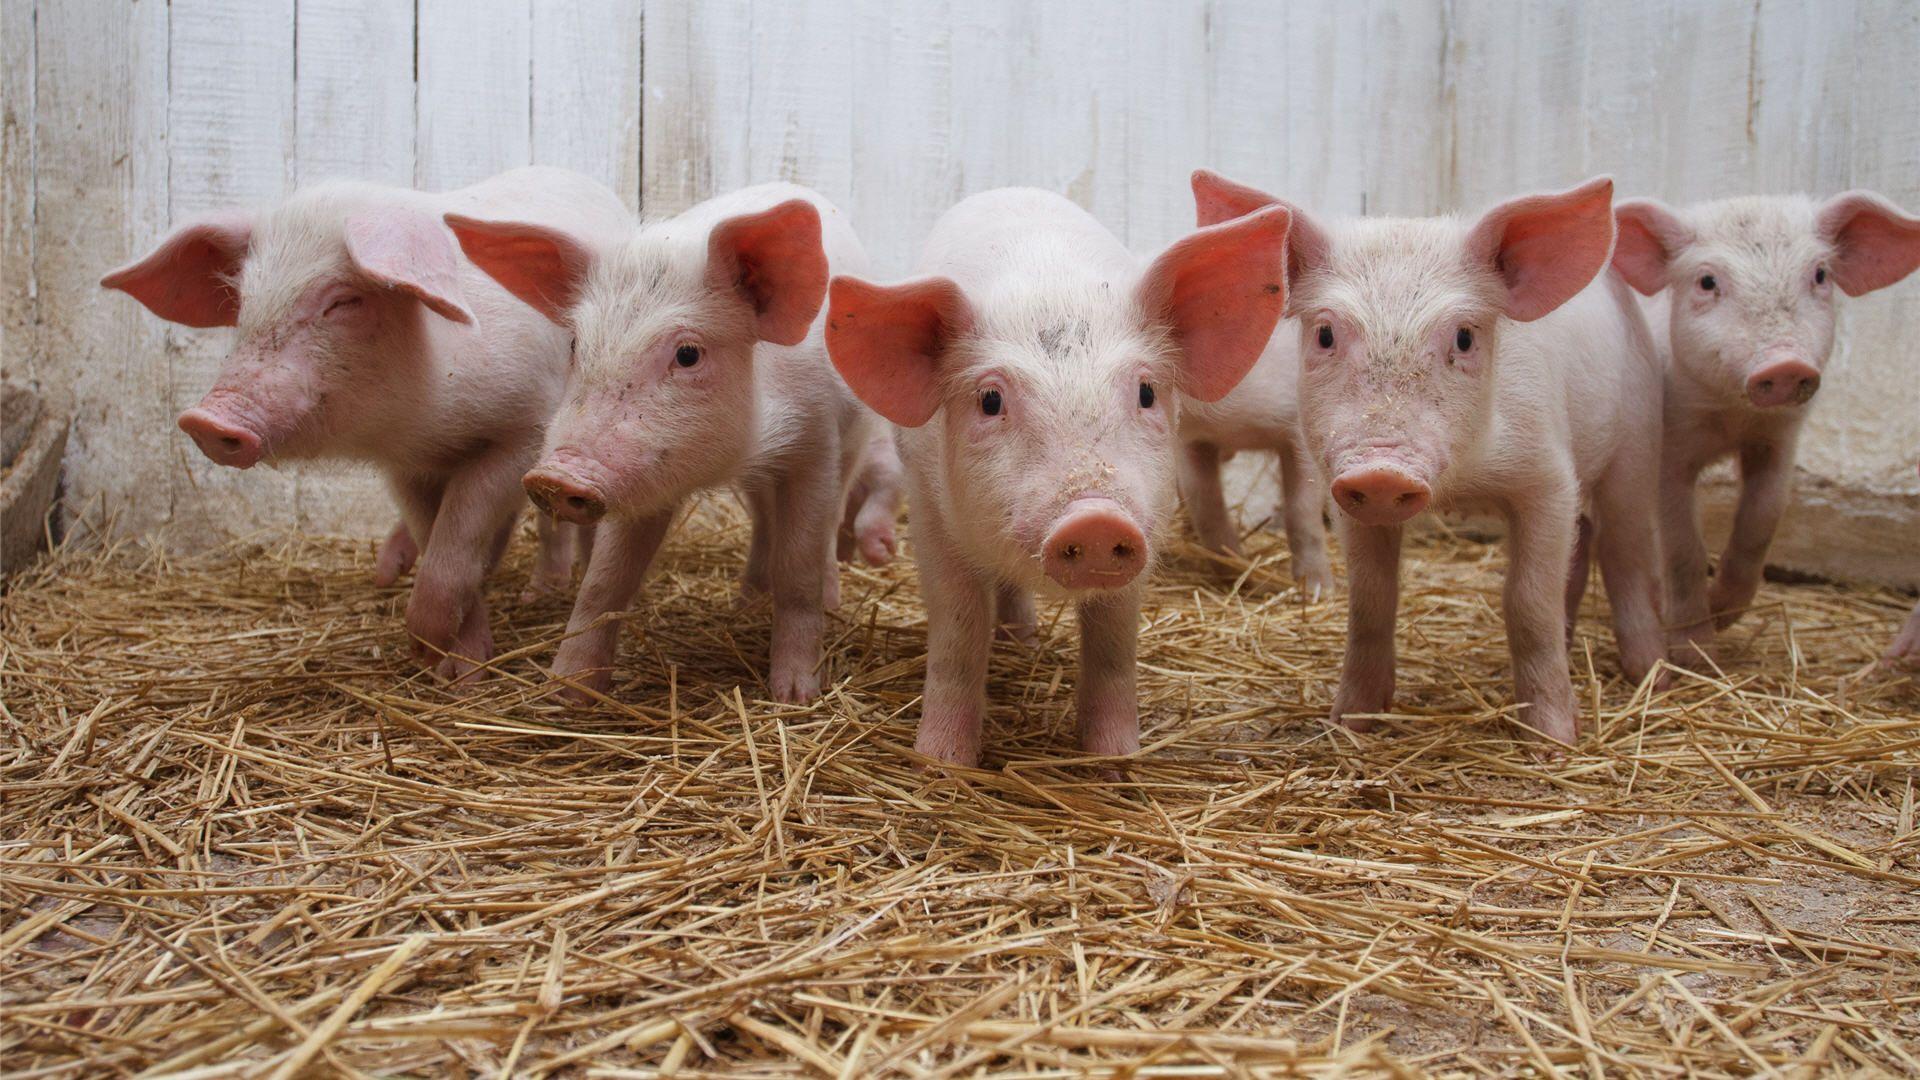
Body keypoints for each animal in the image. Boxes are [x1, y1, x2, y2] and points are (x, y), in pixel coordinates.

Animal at [100, 167, 632, 679]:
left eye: (341, 301)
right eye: (243, 300)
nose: (206, 419)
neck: (429, 421)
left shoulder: (525, 431)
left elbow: (458, 534)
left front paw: (445, 663)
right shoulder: (404, 467)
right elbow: (434, 533)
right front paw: (449, 666)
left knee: (551, 522)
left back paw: (543, 592)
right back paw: (396, 573)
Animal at [445, 183, 874, 704]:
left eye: (688, 354)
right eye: (575, 344)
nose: (555, 476)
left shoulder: (816, 442)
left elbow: (799, 567)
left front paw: (795, 696)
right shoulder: (644, 478)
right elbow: (604, 579)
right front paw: (564, 692)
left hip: (856, 439)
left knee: (828, 523)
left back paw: (820, 601)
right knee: (762, 519)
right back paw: (746, 600)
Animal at [825, 188, 1291, 767]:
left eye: (1146, 392)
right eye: (990, 400)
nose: (1094, 518)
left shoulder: (1143, 531)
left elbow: (1113, 644)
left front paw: (1114, 764)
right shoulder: (930, 514)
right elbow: (958, 631)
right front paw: (943, 764)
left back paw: (1022, 641)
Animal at [1176, 328, 1334, 598]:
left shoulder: (1302, 430)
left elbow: (1302, 511)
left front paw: (1317, 591)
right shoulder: (1192, 440)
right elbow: (1206, 508)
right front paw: (1236, 574)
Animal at [1611, 193, 1920, 658]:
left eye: (1820, 274)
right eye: (1707, 282)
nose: (1785, 364)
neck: (1732, 417)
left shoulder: (1780, 439)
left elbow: (1762, 519)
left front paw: (1723, 613)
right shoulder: (1669, 450)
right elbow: (1682, 546)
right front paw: (1697, 651)